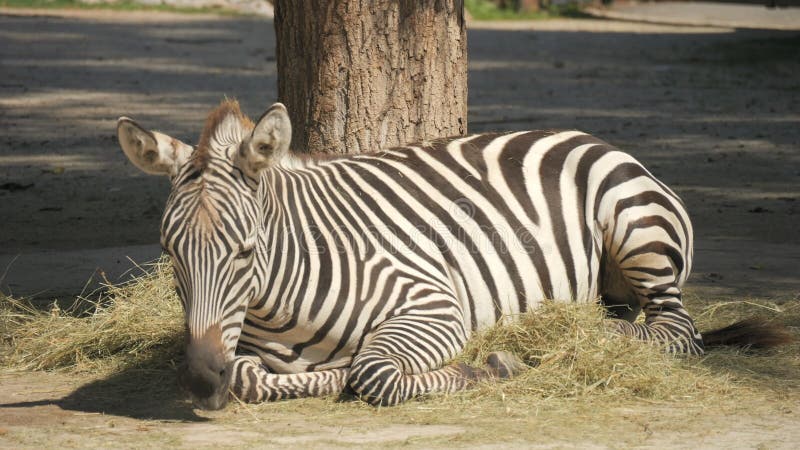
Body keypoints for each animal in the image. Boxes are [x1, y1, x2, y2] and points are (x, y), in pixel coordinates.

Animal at [116, 100, 789, 409]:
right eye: (169, 254)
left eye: (246, 251)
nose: (198, 379)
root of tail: (588, 135)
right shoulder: (238, 347)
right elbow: (255, 378)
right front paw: (316, 374)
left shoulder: (434, 303)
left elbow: (375, 373)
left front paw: (485, 367)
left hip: (636, 229)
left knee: (676, 330)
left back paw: (566, 338)